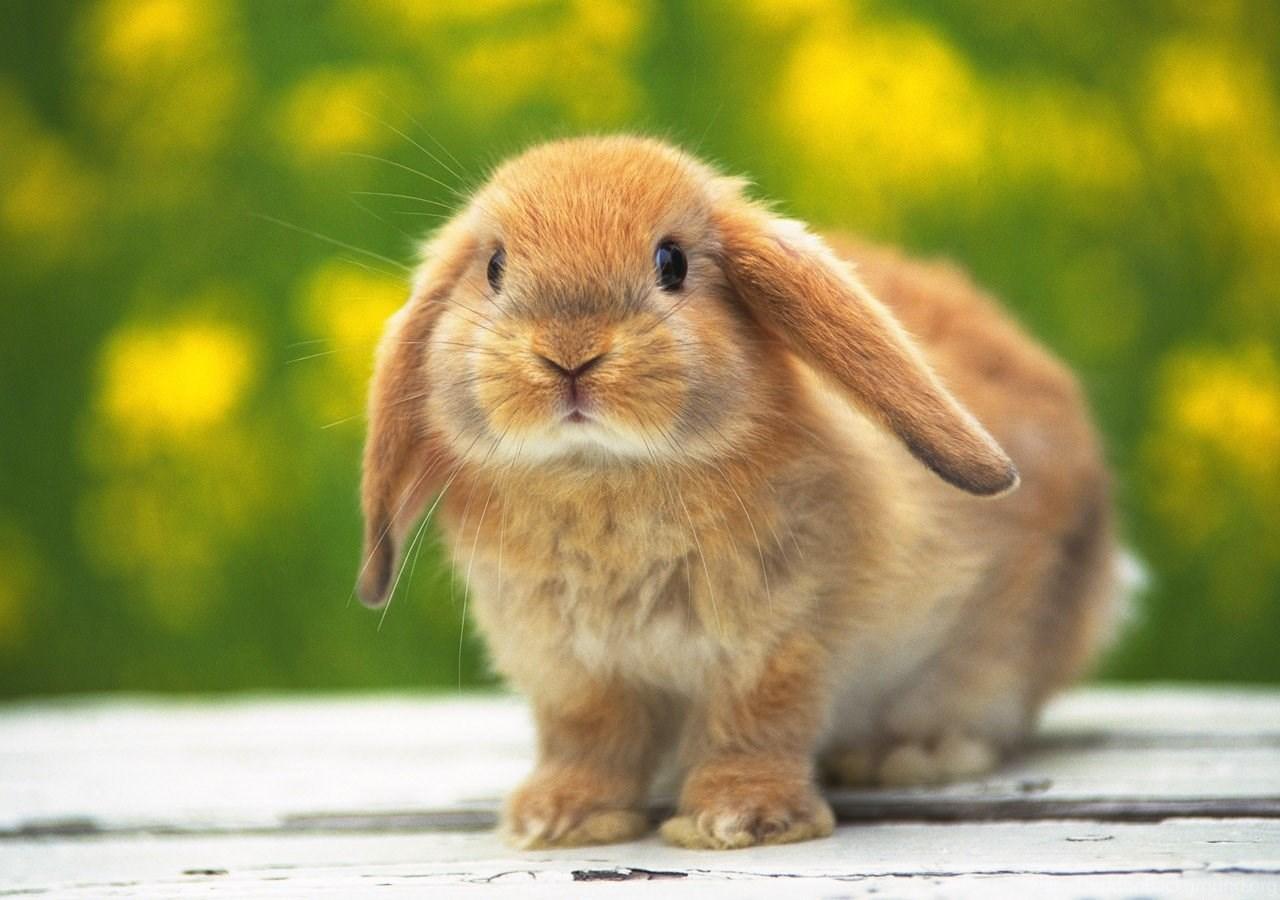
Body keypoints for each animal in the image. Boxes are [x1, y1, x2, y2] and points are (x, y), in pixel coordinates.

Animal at [355, 135, 1124, 850]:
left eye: (672, 263)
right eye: (494, 267)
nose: (569, 353)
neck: (603, 473)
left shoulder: (778, 642)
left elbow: (754, 726)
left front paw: (737, 820)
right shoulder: (568, 668)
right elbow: (588, 738)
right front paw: (557, 819)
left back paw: (909, 754)